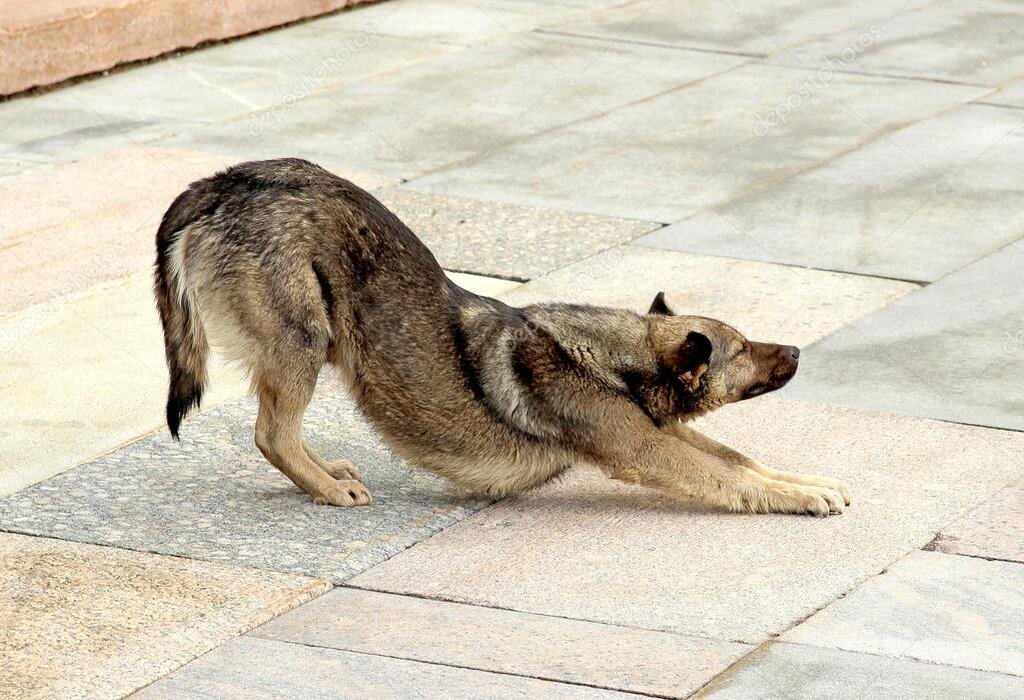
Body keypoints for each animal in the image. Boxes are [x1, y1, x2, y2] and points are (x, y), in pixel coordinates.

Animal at [155, 161, 851, 515]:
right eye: (744, 350)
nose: (796, 350)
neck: (611, 358)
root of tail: (230, 178)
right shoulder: (645, 447)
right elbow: (730, 477)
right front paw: (798, 498)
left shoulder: (660, 428)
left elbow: (740, 459)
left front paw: (809, 482)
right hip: (301, 338)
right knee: (271, 433)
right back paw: (327, 488)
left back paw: (324, 471)